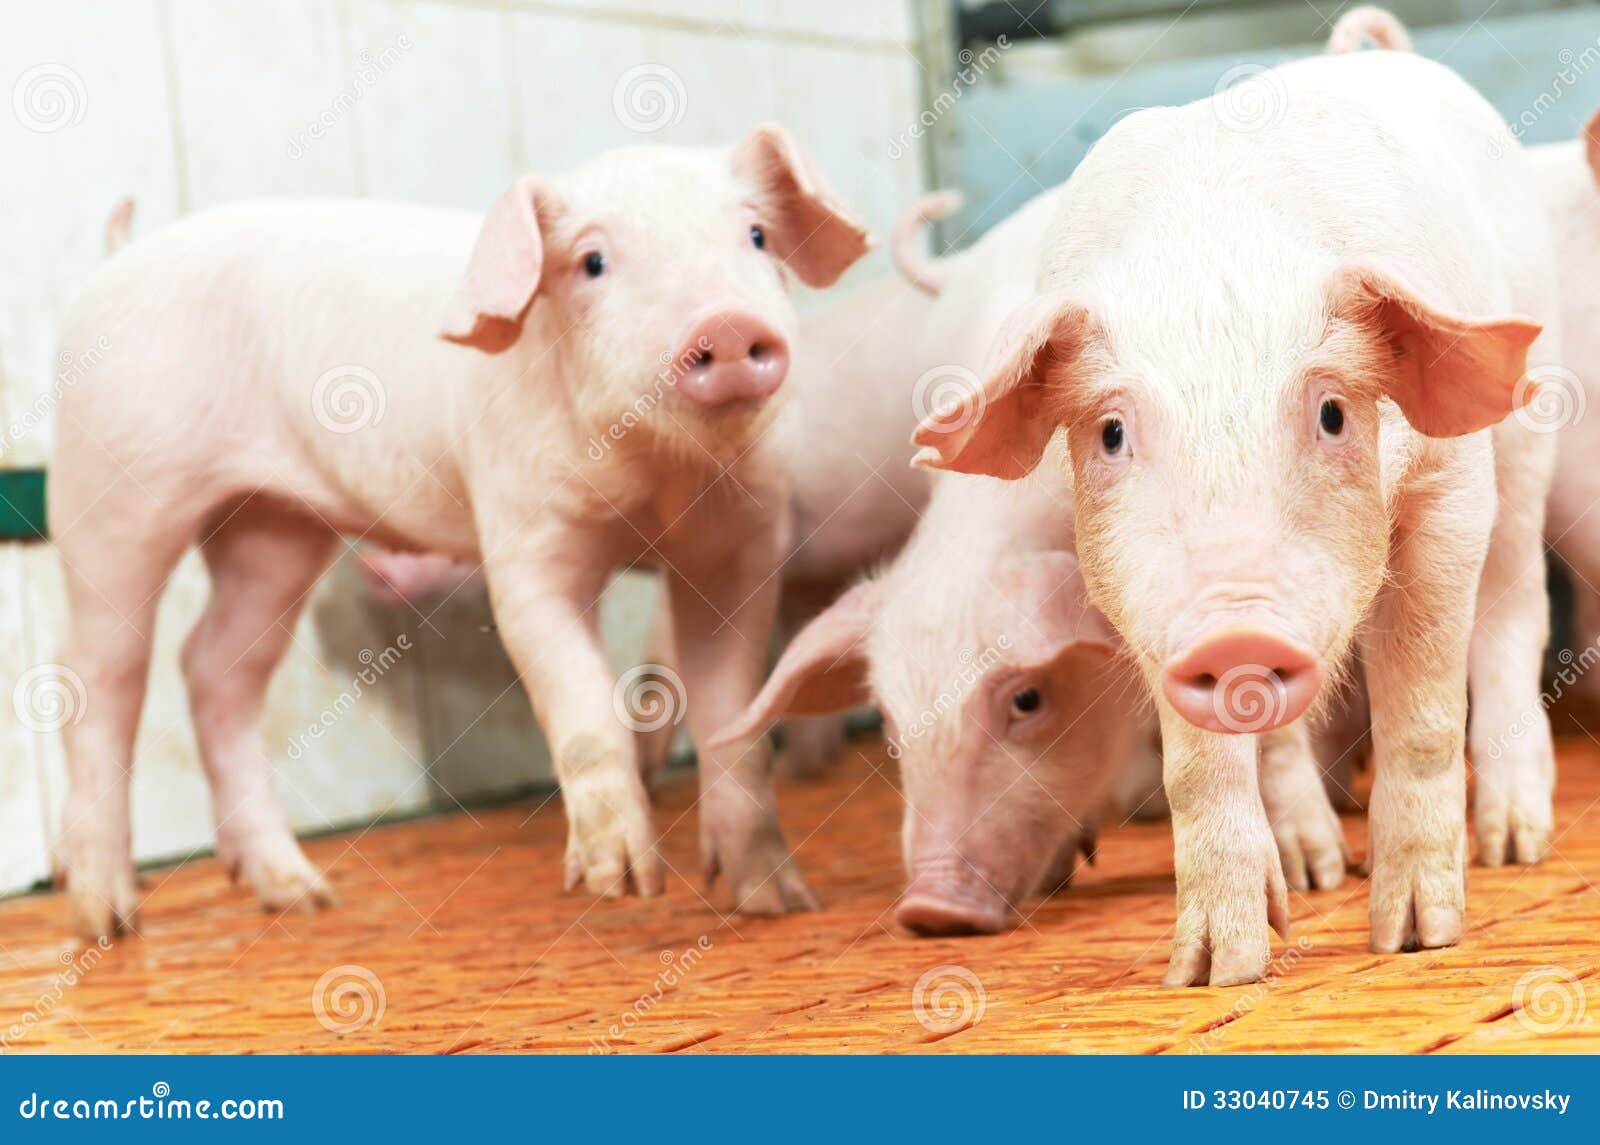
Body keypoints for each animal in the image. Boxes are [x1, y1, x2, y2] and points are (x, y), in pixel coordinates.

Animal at [48, 125, 869, 938]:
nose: (726, 325)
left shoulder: (742, 542)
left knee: (216, 666)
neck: (658, 484)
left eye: (756, 235)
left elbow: (734, 715)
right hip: (111, 487)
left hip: (273, 529)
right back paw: (104, 919)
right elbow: (578, 696)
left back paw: (302, 894)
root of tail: (119, 256)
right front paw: (619, 884)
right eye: (592, 261)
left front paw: (778, 900)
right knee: (102, 676)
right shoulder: (524, 532)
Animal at [913, 50, 1559, 983]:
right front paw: (1215, 969)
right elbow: (1196, 766)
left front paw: (1416, 938)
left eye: (1332, 412)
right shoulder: (1138, 587)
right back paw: (1312, 871)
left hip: (1526, 437)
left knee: (1514, 607)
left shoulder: (1451, 484)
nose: (1235, 627)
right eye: (1111, 432)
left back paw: (1515, 843)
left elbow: (1424, 711)